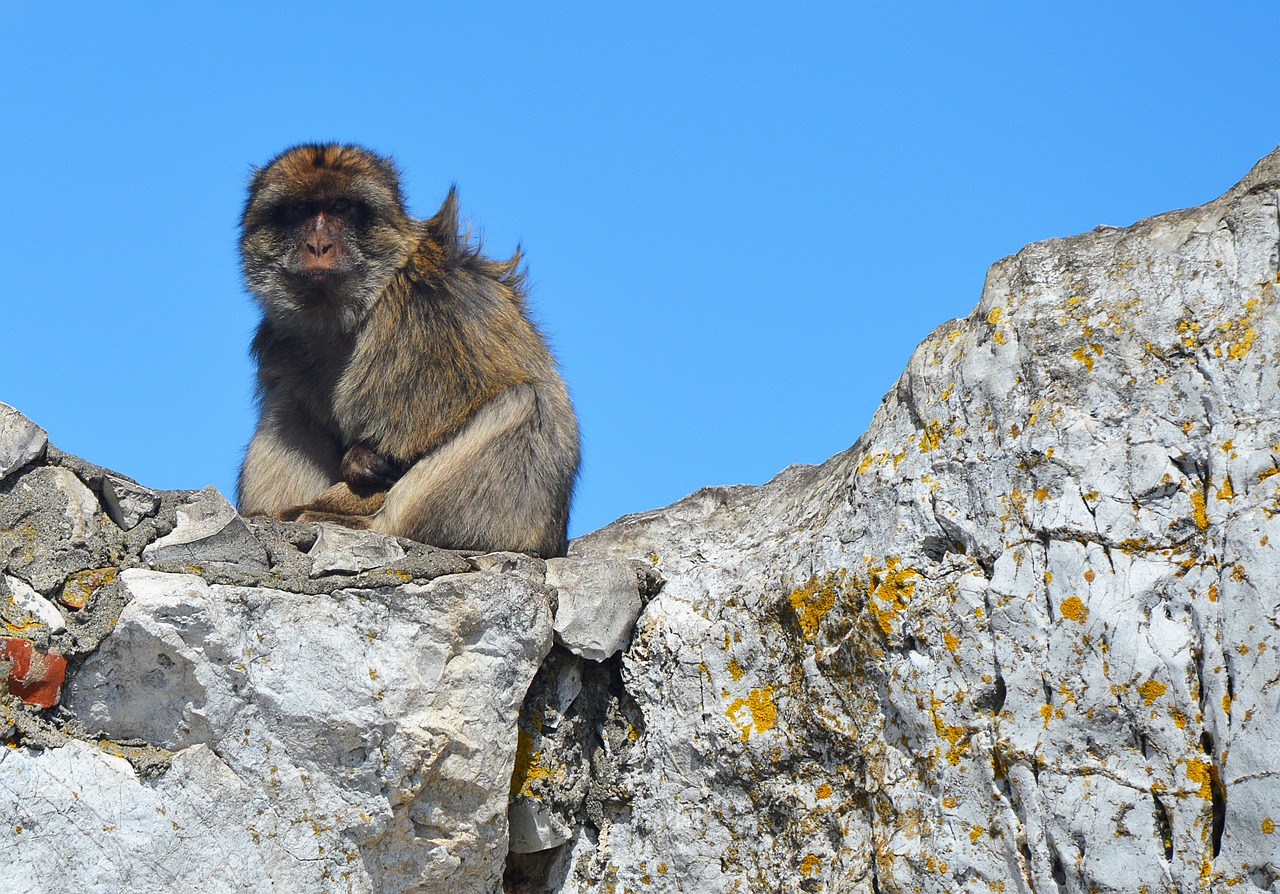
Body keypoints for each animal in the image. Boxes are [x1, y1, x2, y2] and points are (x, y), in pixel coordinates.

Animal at [235, 143, 580, 558]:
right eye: (301, 210)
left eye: (341, 207)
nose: (318, 245)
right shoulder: (281, 339)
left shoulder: (420, 311)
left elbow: (420, 431)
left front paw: (361, 471)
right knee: (288, 403)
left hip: (506, 520)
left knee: (521, 403)